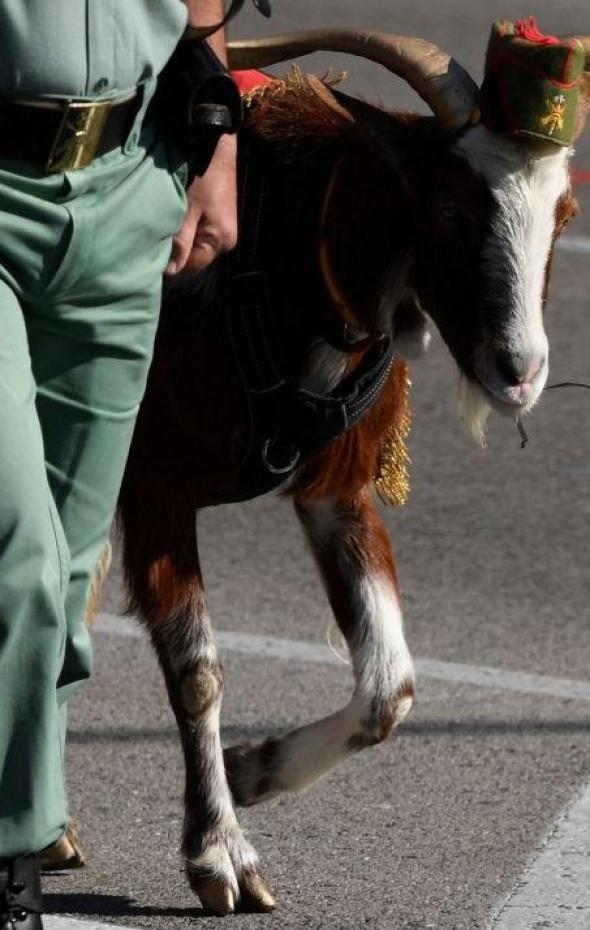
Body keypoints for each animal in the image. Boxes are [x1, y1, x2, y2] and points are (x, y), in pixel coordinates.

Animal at [114, 28, 590, 914]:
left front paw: (254, 769)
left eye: (565, 212)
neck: (277, 251)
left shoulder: (338, 489)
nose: (520, 371)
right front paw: (221, 851)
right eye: (449, 206)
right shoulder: (152, 479)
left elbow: (389, 687)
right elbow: (197, 671)